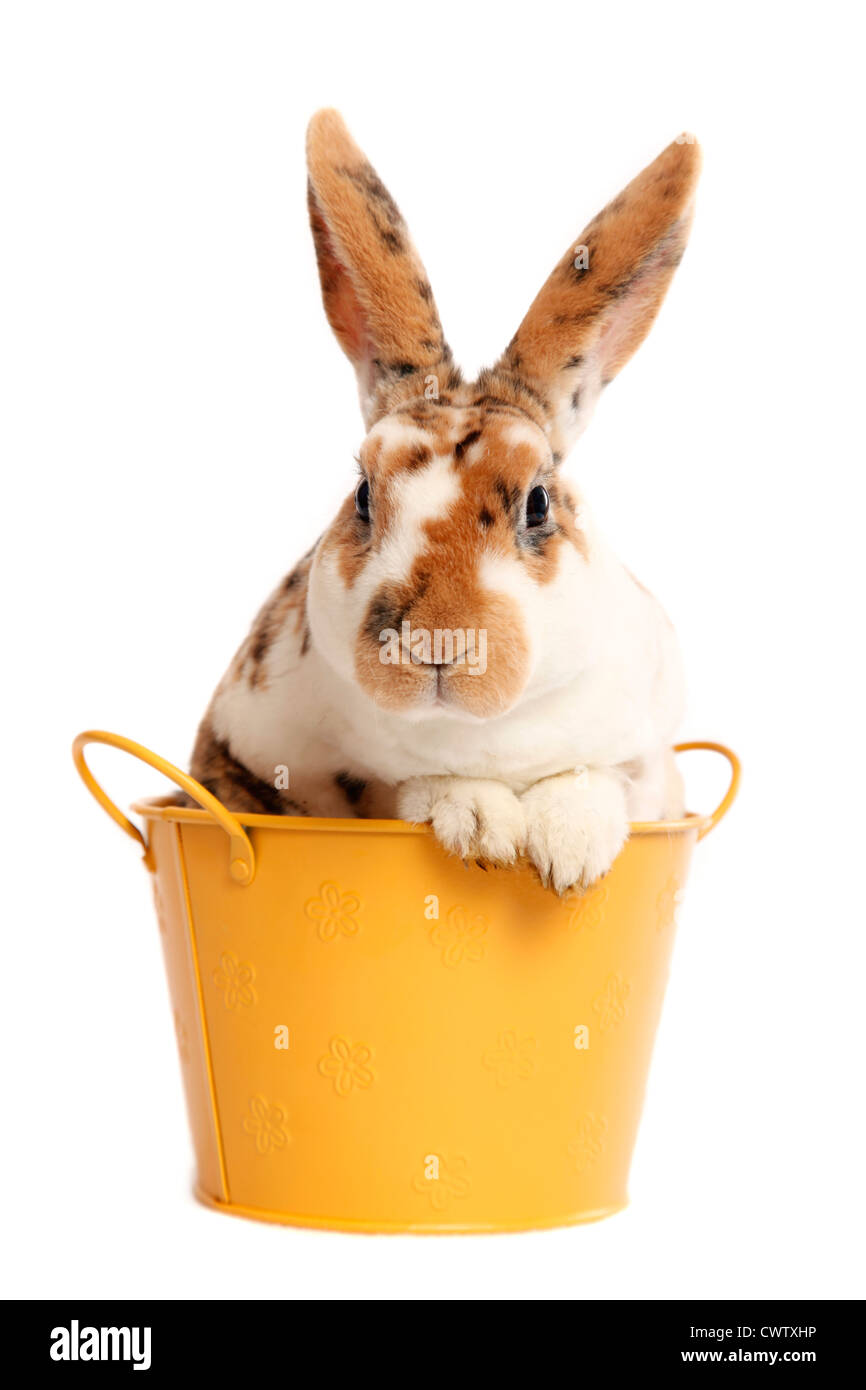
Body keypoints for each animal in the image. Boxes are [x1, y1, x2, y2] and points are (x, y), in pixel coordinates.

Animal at [189, 109, 700, 895]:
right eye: (363, 496)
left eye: (537, 504)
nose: (437, 641)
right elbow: (410, 787)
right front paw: (483, 827)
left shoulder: (649, 759)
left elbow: (599, 777)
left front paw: (570, 853)